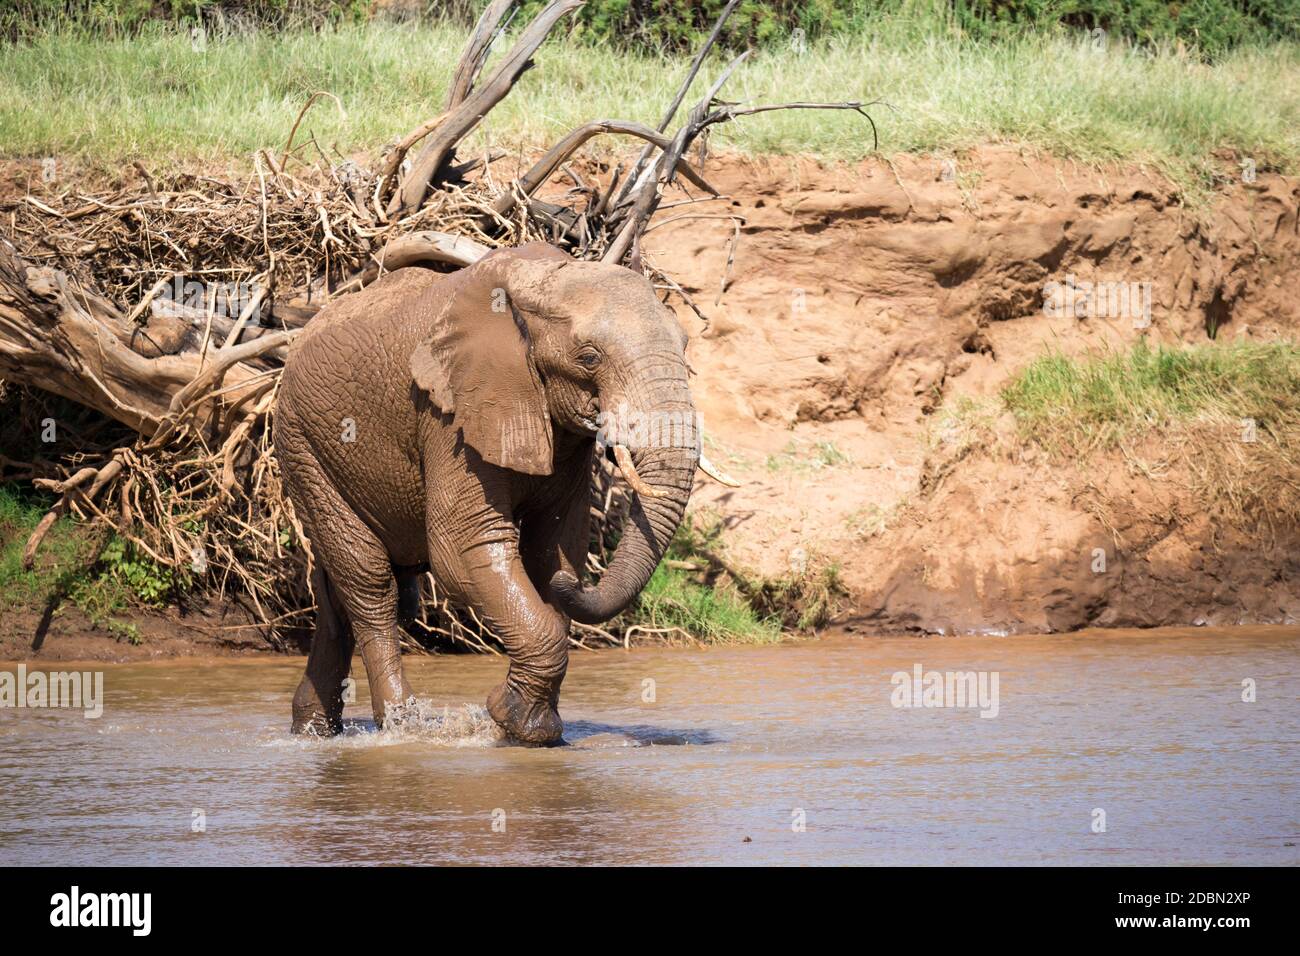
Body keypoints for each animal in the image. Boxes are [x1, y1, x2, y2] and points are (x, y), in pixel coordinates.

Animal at [274, 242, 733, 745]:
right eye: (589, 358)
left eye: (685, 346)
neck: (540, 282)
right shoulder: (451, 412)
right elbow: (465, 549)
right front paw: (516, 724)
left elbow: (552, 550)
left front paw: (534, 732)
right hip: (301, 444)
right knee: (369, 582)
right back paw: (404, 727)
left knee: (336, 592)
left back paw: (313, 733)